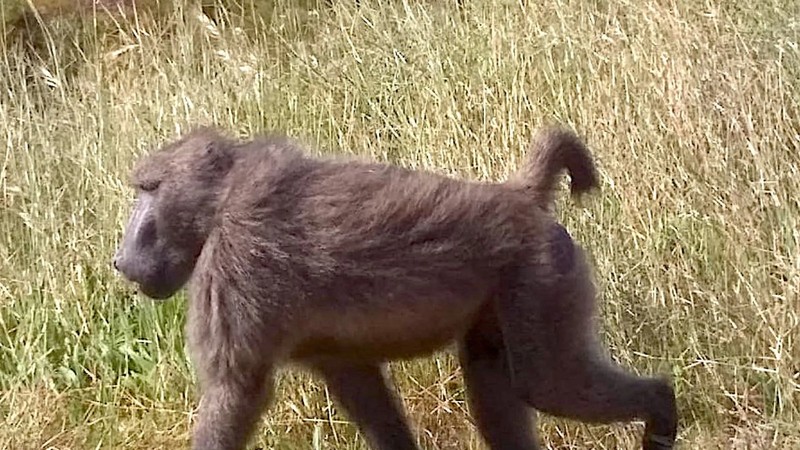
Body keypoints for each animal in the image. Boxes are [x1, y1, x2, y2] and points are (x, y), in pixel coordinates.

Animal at [112, 125, 678, 450]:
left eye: (148, 190)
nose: (120, 259)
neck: (222, 198)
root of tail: (519, 196)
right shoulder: (332, 353)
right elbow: (360, 386)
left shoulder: (236, 261)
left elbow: (237, 387)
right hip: (512, 294)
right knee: (494, 379)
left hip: (540, 276)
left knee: (546, 383)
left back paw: (661, 411)